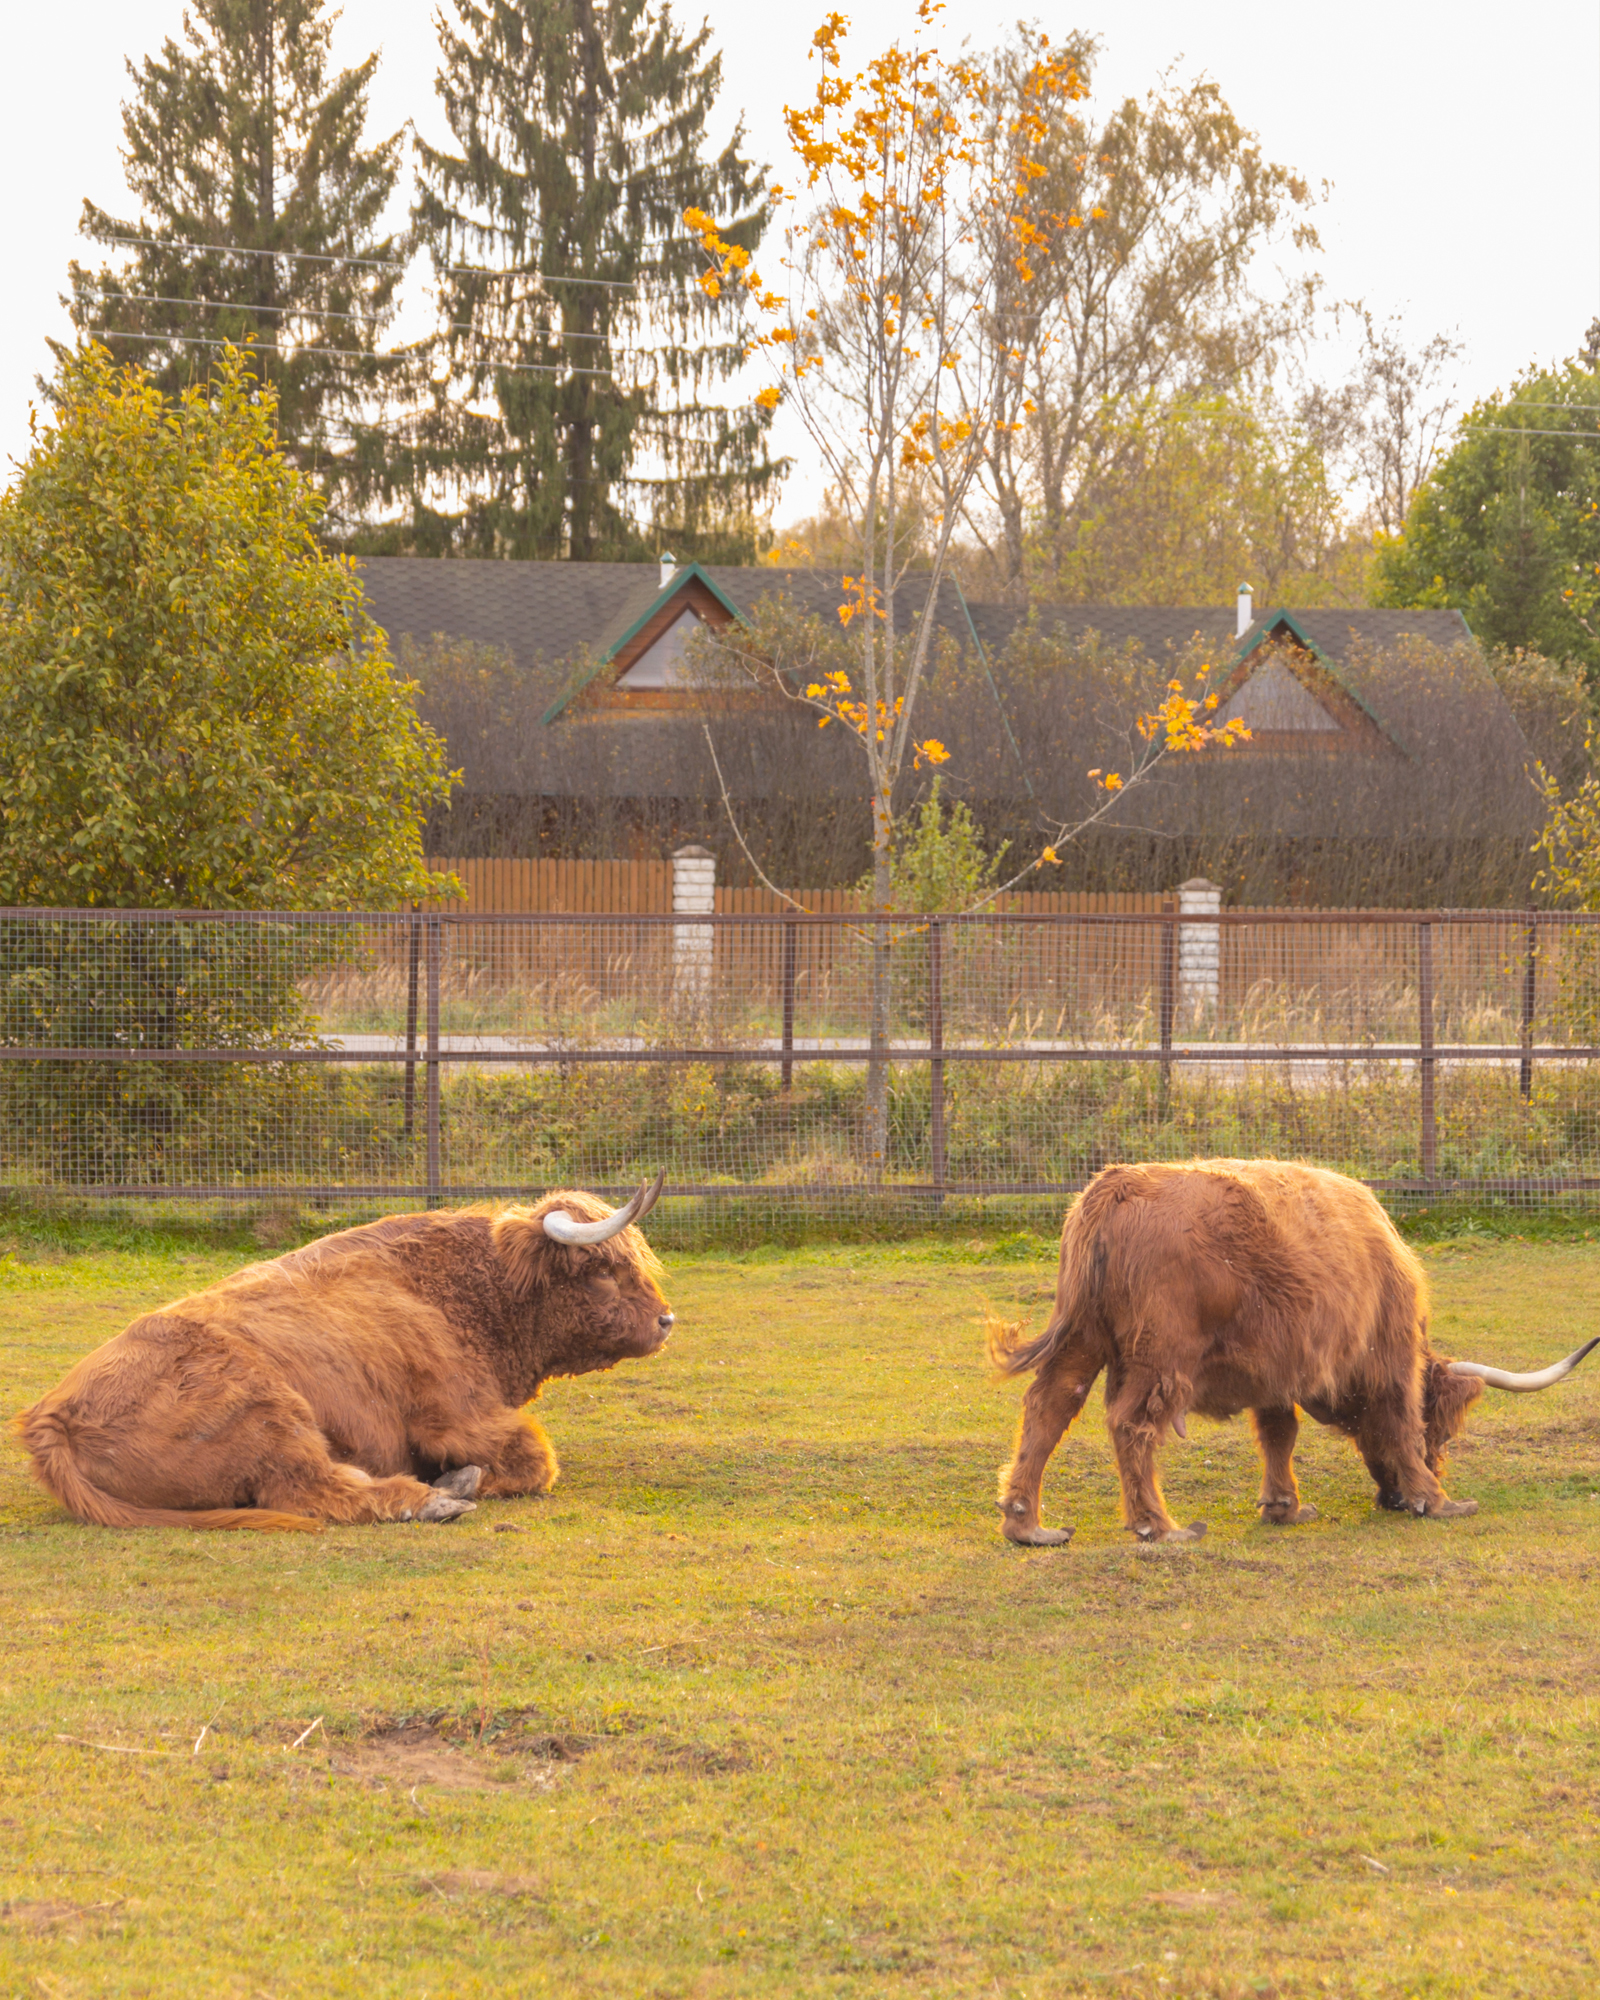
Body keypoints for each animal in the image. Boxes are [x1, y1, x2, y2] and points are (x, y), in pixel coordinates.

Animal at [15, 1176, 672, 1536]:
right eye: (603, 1270)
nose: (665, 1320)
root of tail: (52, 1417)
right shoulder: (457, 1416)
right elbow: (537, 1459)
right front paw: (461, 1476)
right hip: (273, 1414)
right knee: (317, 1489)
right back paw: (437, 1498)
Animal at [992, 1160, 1592, 1544]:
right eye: (1440, 1433)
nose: (1396, 1499)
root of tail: (1112, 1187)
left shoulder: (1273, 1369)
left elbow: (1279, 1433)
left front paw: (1285, 1508)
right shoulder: (1390, 1359)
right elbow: (1398, 1424)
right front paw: (1438, 1501)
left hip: (1083, 1339)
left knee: (1048, 1407)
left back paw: (1027, 1526)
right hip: (1158, 1357)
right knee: (1129, 1424)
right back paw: (1158, 1527)